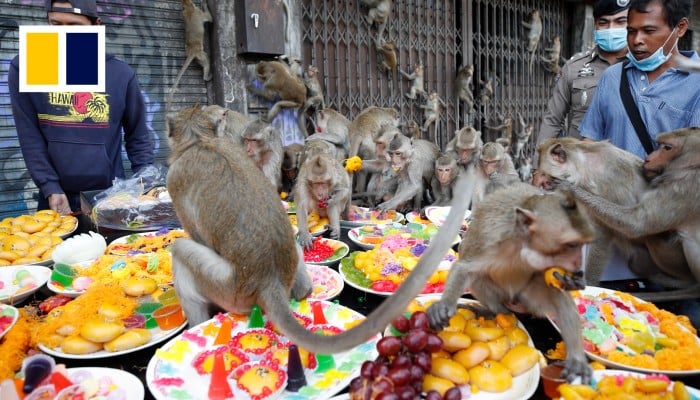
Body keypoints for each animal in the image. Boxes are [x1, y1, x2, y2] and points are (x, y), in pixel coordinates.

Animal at [166, 104, 477, 355]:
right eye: (248, 142)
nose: (250, 148)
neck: (200, 141)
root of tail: (270, 284)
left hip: (229, 290)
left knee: (180, 249)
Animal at [426, 181, 595, 384]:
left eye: (583, 244)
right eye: (572, 244)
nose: (578, 264)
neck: (522, 242)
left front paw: (575, 280)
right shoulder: (489, 239)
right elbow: (464, 268)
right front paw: (444, 306)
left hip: (529, 299)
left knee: (554, 293)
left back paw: (576, 359)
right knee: (479, 277)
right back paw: (493, 312)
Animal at [551, 128, 700, 301]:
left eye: (667, 148)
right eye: (660, 145)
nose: (649, 158)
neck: (692, 167)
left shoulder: (682, 187)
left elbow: (635, 224)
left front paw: (574, 189)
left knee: (652, 236)